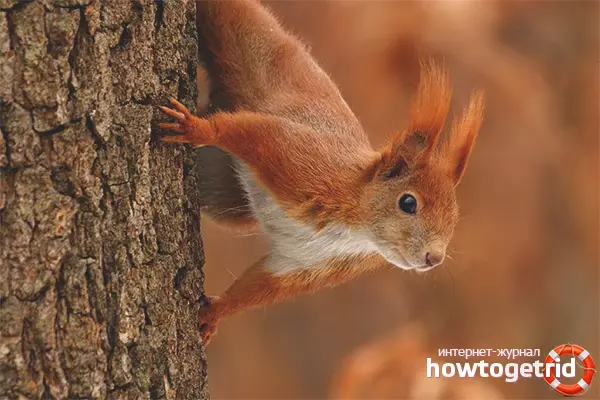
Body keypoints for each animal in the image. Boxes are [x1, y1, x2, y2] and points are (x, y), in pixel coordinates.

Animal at [158, 0, 482, 344]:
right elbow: (255, 134)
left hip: (223, 193)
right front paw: (197, 129)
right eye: (408, 203)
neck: (357, 229)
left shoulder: (307, 264)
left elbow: (264, 285)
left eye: (454, 217)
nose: (435, 258)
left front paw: (214, 314)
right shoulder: (302, 162)